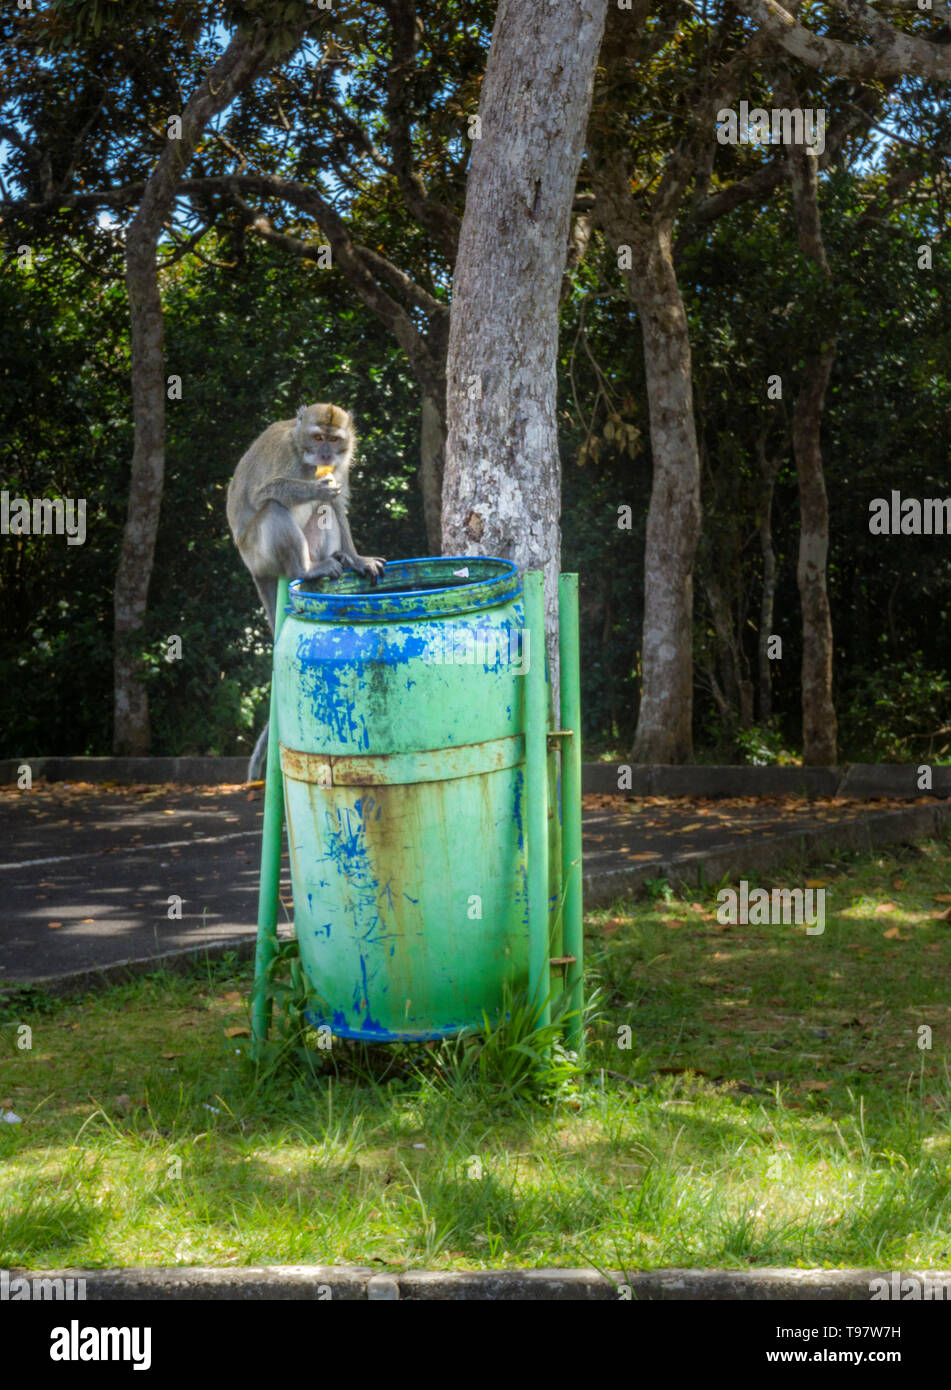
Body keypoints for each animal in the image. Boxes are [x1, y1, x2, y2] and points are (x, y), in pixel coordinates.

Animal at [227, 402, 386, 780]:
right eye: (317, 438)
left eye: (333, 439)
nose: (325, 454)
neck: (304, 455)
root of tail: (252, 567)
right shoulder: (286, 459)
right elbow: (267, 493)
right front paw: (316, 489)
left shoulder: (340, 467)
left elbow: (338, 507)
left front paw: (358, 558)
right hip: (258, 552)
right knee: (273, 507)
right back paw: (304, 569)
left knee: (323, 514)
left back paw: (336, 559)